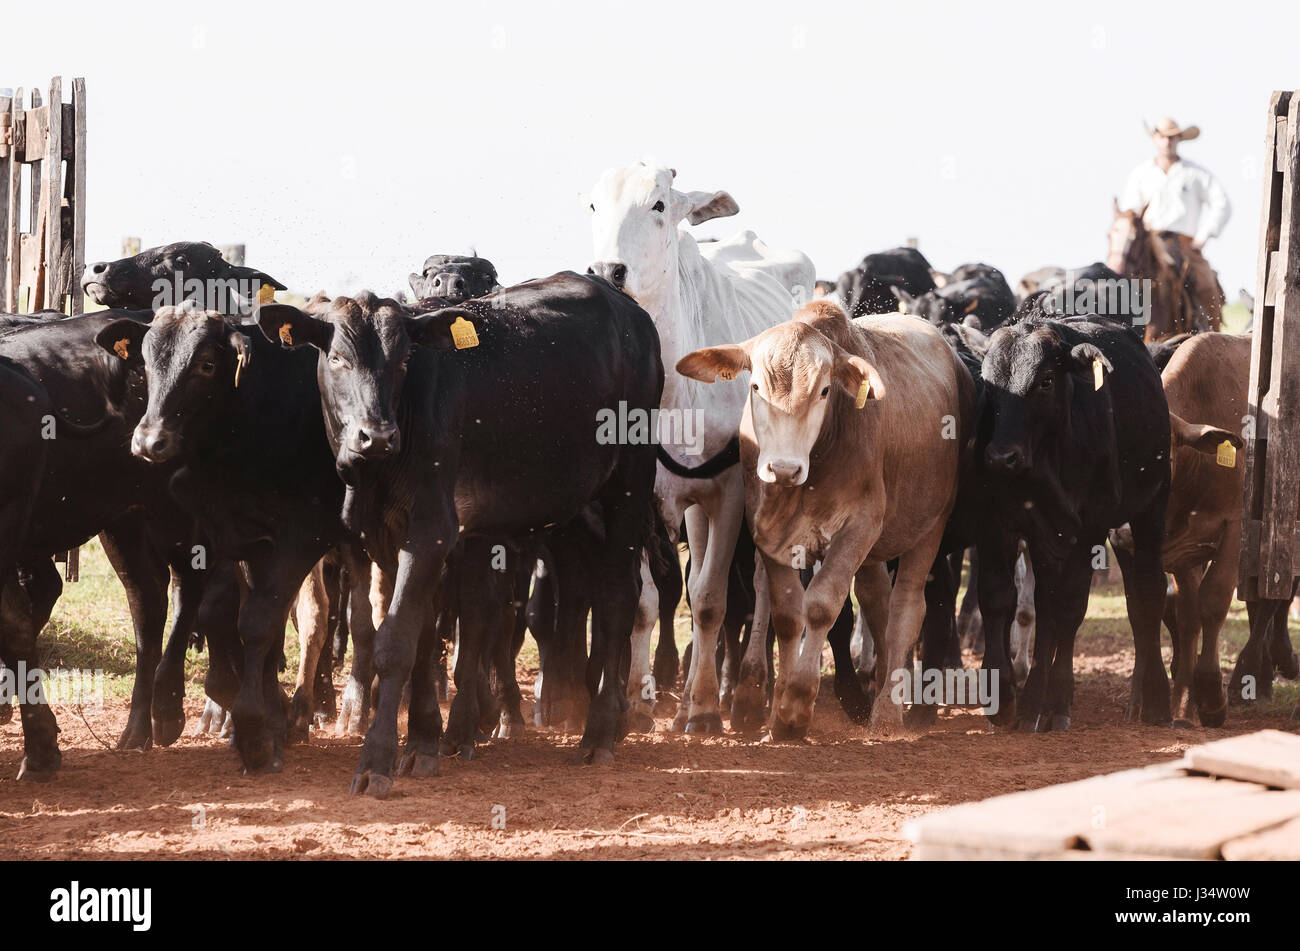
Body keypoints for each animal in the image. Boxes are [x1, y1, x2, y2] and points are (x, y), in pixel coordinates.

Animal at [253, 273, 663, 796]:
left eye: (403, 360)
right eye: (339, 358)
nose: (377, 436)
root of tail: (623, 303)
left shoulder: (431, 530)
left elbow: (395, 644)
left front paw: (377, 760)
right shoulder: (386, 537)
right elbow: (423, 635)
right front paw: (423, 741)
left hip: (630, 481)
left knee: (616, 597)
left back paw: (600, 734)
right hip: (576, 507)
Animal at [586, 161, 814, 734]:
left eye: (659, 204)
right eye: (593, 205)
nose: (606, 270)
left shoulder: (729, 494)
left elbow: (711, 602)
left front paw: (709, 708)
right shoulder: (639, 500)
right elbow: (644, 602)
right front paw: (637, 701)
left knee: (762, 590)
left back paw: (748, 691)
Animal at [678, 299, 971, 735]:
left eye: (824, 390)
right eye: (755, 387)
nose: (783, 469)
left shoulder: (859, 526)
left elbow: (820, 605)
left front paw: (796, 707)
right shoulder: (768, 530)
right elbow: (787, 612)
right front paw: (778, 706)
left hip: (929, 527)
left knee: (905, 610)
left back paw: (887, 711)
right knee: (877, 602)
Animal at [975, 294, 1173, 731]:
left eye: (1045, 381)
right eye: (986, 382)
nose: (1001, 457)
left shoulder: (1090, 528)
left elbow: (1070, 605)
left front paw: (1056, 701)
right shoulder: (1001, 522)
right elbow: (999, 597)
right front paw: (1004, 698)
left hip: (1150, 508)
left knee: (1148, 591)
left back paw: (1155, 701)